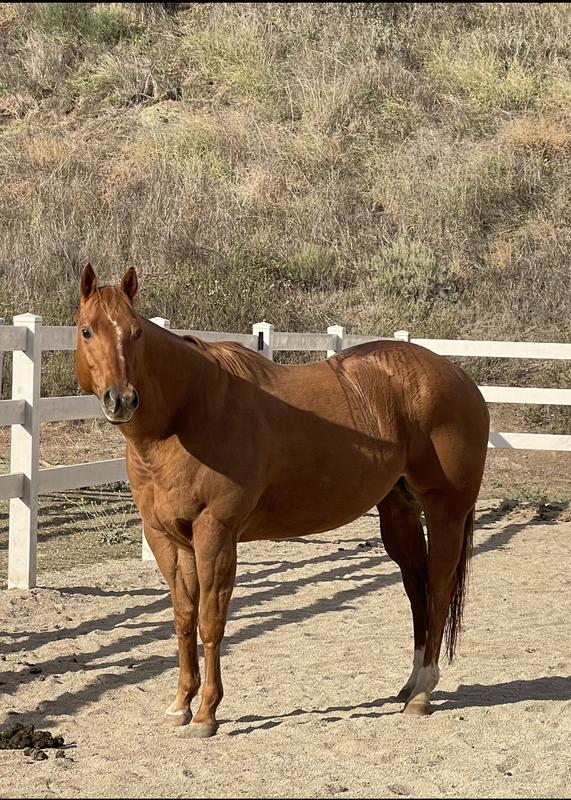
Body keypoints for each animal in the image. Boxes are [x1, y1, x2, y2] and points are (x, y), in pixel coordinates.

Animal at [75, 263, 490, 738]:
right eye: (87, 330)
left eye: (136, 333)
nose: (121, 399)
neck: (187, 414)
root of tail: (459, 379)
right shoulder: (166, 538)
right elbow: (182, 618)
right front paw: (180, 704)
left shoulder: (215, 534)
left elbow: (211, 621)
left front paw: (206, 714)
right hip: (399, 511)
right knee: (416, 588)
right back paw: (409, 685)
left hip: (445, 511)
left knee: (438, 588)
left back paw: (422, 694)